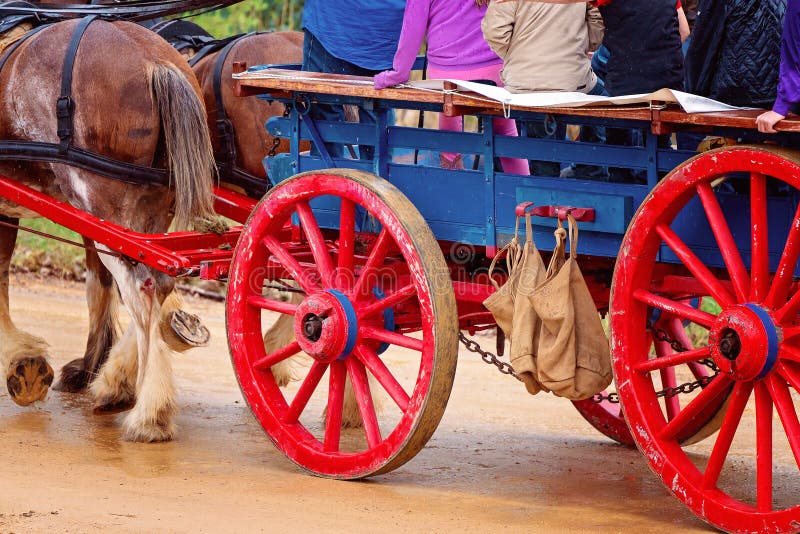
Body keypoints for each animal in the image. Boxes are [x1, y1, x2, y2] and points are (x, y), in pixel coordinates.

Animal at [0, 16, 222, 441]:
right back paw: (123, 385)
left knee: (140, 285)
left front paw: (21, 362)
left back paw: (148, 413)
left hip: (99, 199)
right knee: (156, 280)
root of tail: (155, 62)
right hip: (143, 210)